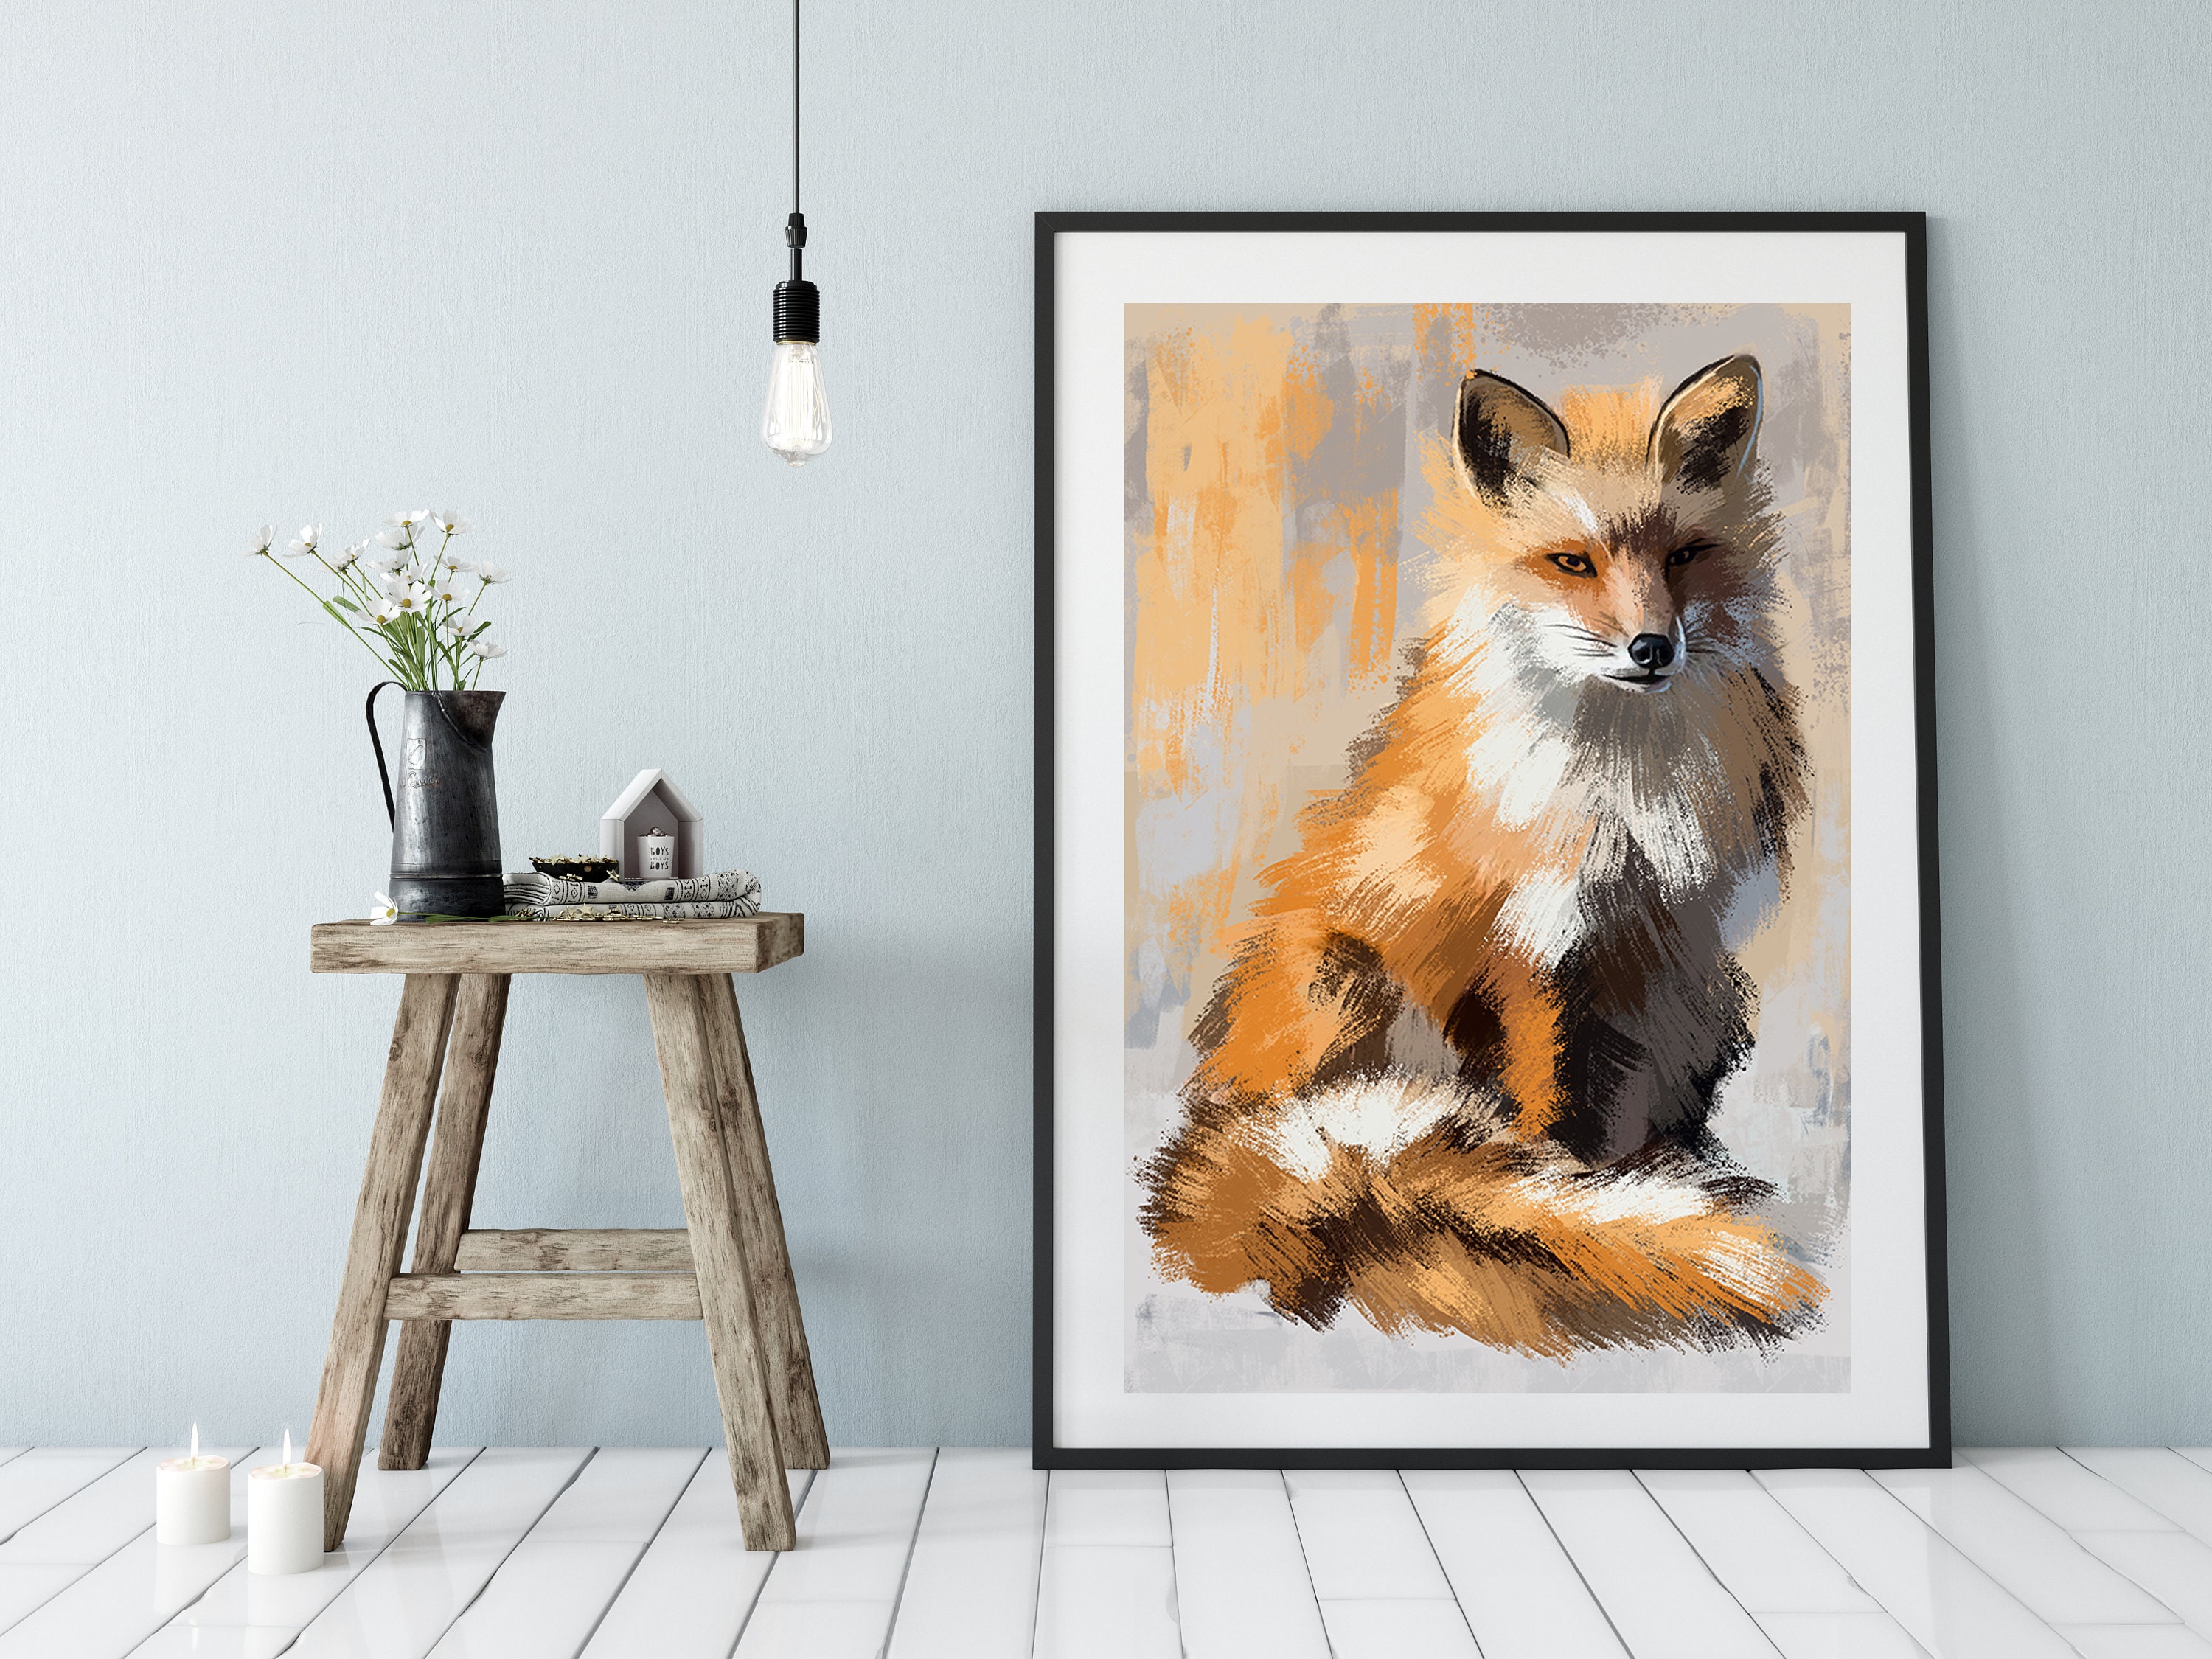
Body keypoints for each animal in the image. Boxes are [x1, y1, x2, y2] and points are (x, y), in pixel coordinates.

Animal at [1138, 354, 1827, 1360]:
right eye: (1573, 563)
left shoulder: (1654, 948)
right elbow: (1543, 1113)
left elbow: (1616, 1113)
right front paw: (1559, 1197)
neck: (1621, 785)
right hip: (1344, 981)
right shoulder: (1537, 934)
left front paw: (1626, 1195)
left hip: (1710, 1000)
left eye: (1683, 557)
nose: (1652, 647)